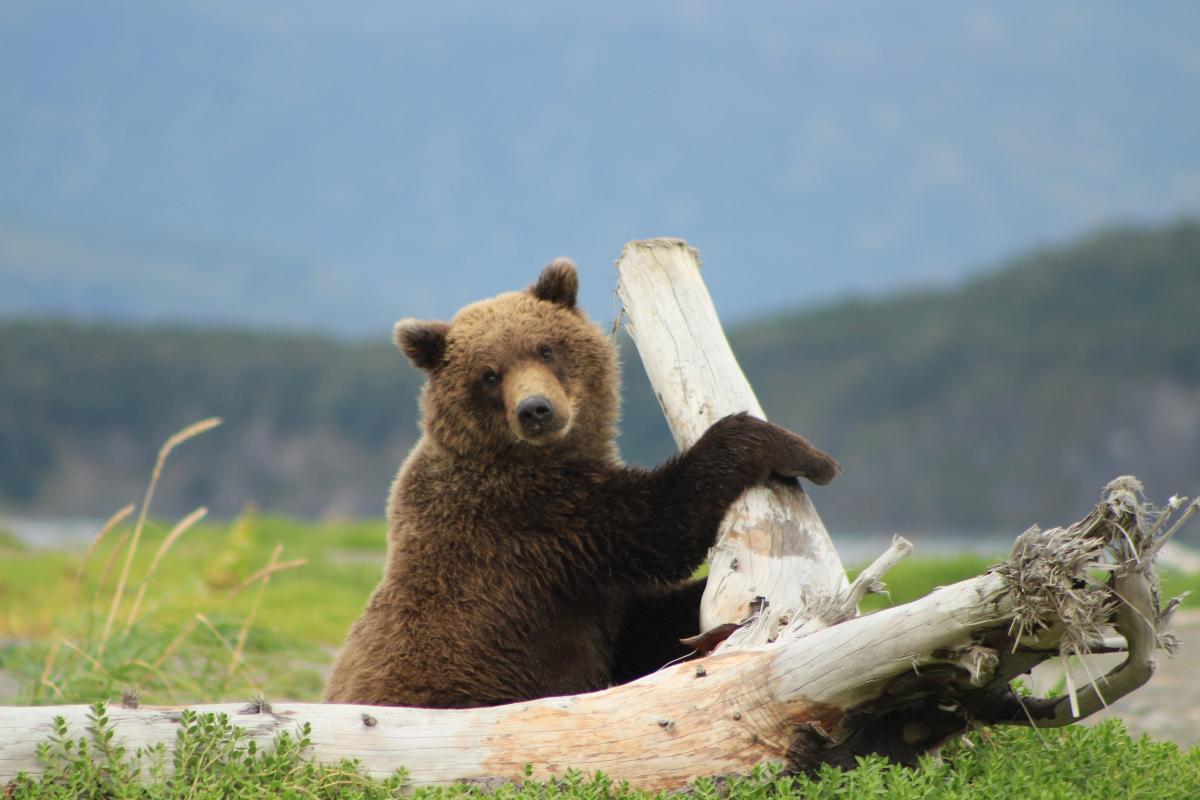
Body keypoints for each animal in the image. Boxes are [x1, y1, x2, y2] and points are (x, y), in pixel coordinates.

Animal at [324, 258, 839, 709]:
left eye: (546, 348)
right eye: (489, 374)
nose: (535, 409)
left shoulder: (590, 592)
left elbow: (646, 626)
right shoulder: (542, 523)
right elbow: (663, 524)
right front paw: (801, 452)